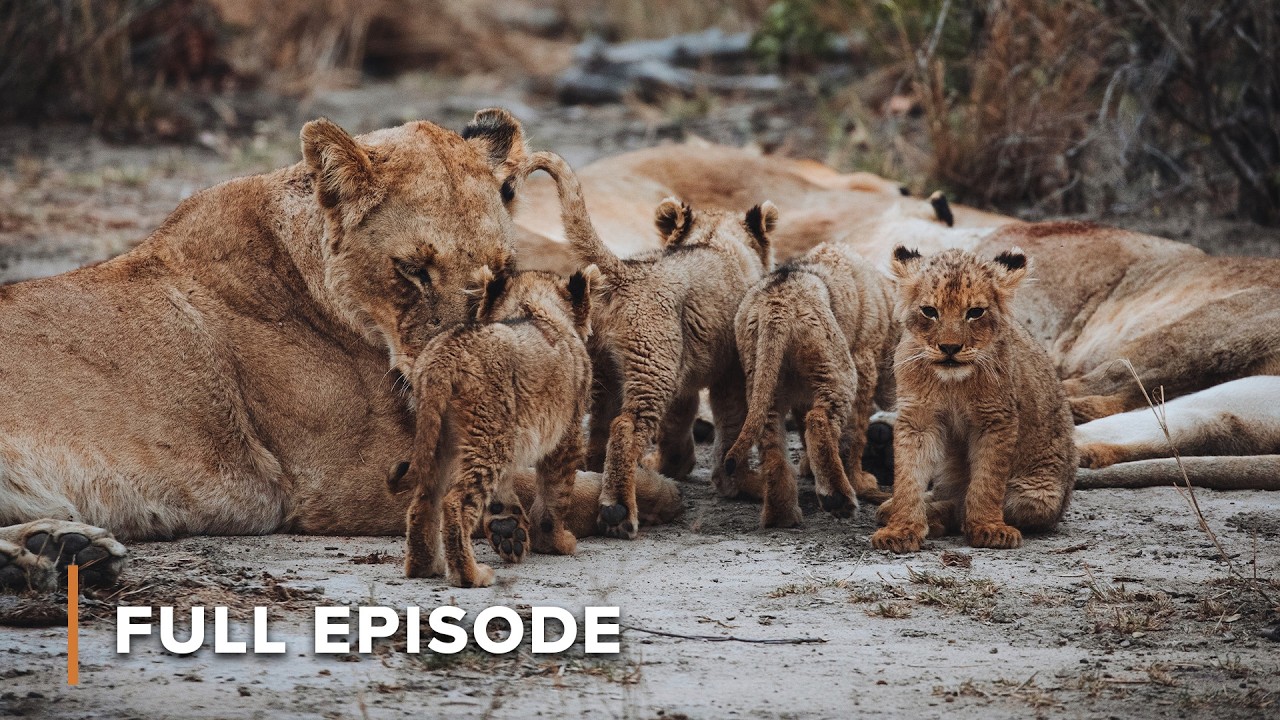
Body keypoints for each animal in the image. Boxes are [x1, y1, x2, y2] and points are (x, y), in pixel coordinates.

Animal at [386, 266, 599, 588]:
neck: (532, 305)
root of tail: (444, 356)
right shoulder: (568, 433)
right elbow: (557, 492)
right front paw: (557, 542)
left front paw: (507, 526)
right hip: (490, 434)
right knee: (455, 501)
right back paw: (470, 575)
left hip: (440, 436)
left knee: (424, 498)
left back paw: (424, 567)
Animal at [519, 150, 773, 539]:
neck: (718, 239)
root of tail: (624, 272)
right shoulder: (729, 370)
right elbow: (732, 422)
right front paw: (739, 481)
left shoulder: (687, 364)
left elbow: (679, 418)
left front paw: (673, 463)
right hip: (652, 362)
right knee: (625, 426)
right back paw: (618, 510)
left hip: (609, 368)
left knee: (601, 427)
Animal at [724, 242, 898, 528]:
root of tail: (775, 305)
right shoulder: (864, 362)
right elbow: (856, 430)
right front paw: (860, 480)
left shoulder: (802, 392)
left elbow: (804, 425)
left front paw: (808, 467)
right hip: (839, 369)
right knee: (819, 421)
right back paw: (839, 498)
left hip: (763, 375)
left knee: (771, 438)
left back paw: (782, 515)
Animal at [871, 247, 1077, 554]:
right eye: (930, 311)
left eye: (975, 313)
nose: (949, 348)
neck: (952, 383)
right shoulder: (918, 418)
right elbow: (908, 475)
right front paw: (901, 529)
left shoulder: (996, 420)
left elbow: (987, 480)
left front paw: (988, 528)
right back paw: (896, 509)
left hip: (1038, 497)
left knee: (966, 507)